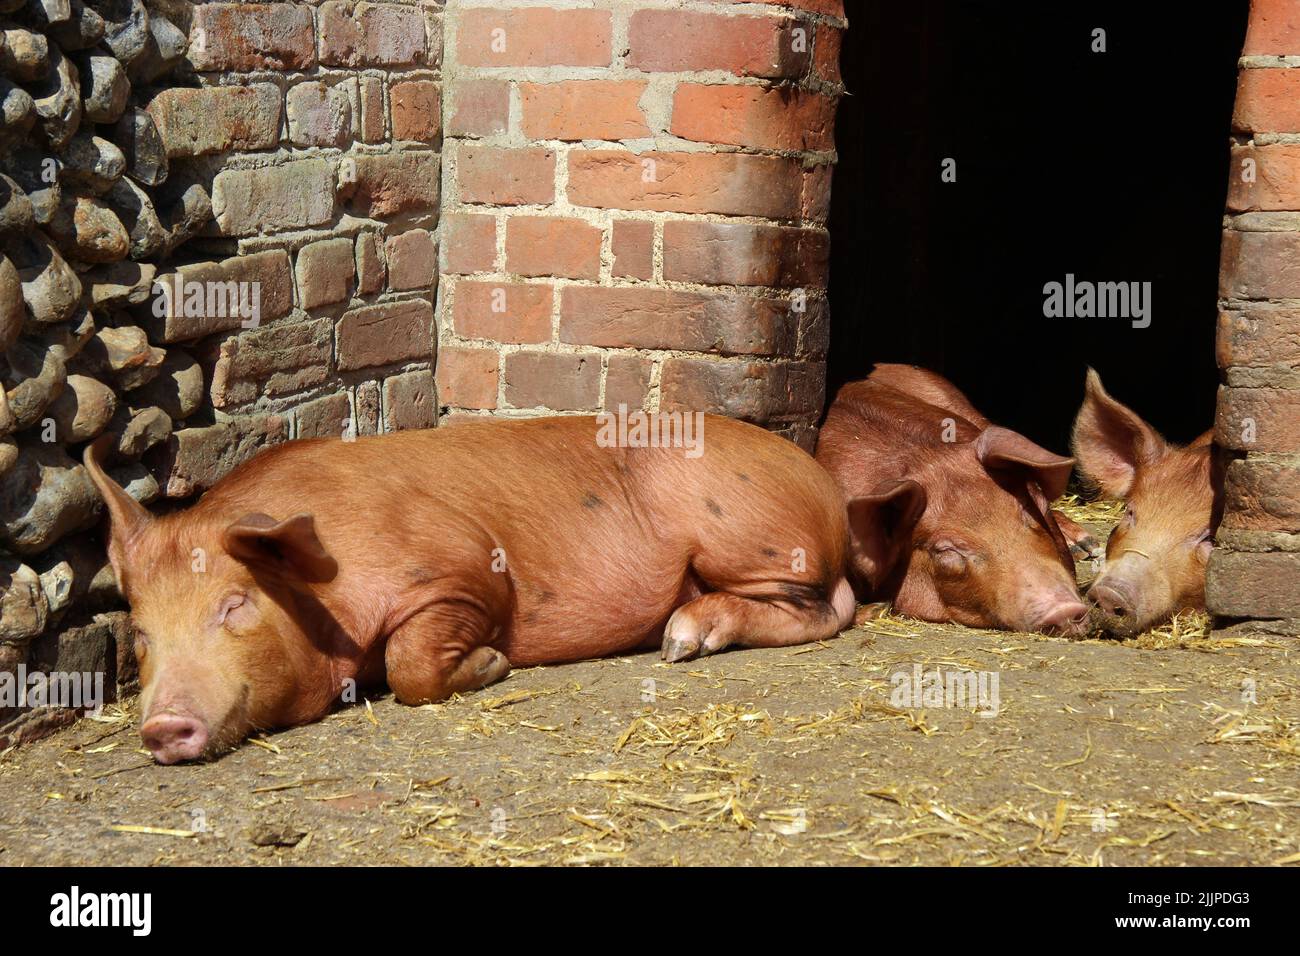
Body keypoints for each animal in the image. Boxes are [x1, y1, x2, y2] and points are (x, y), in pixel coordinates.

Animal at [84, 415, 855, 763]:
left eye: (234, 605)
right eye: (142, 634)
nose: (161, 725)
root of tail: (821, 482)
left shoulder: (463, 570)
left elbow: (411, 663)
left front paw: (493, 663)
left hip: (744, 533)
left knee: (831, 609)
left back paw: (680, 640)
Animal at [815, 363, 1089, 636]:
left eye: (1025, 511)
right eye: (945, 549)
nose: (1063, 608)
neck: (926, 459)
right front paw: (876, 608)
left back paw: (1084, 544)